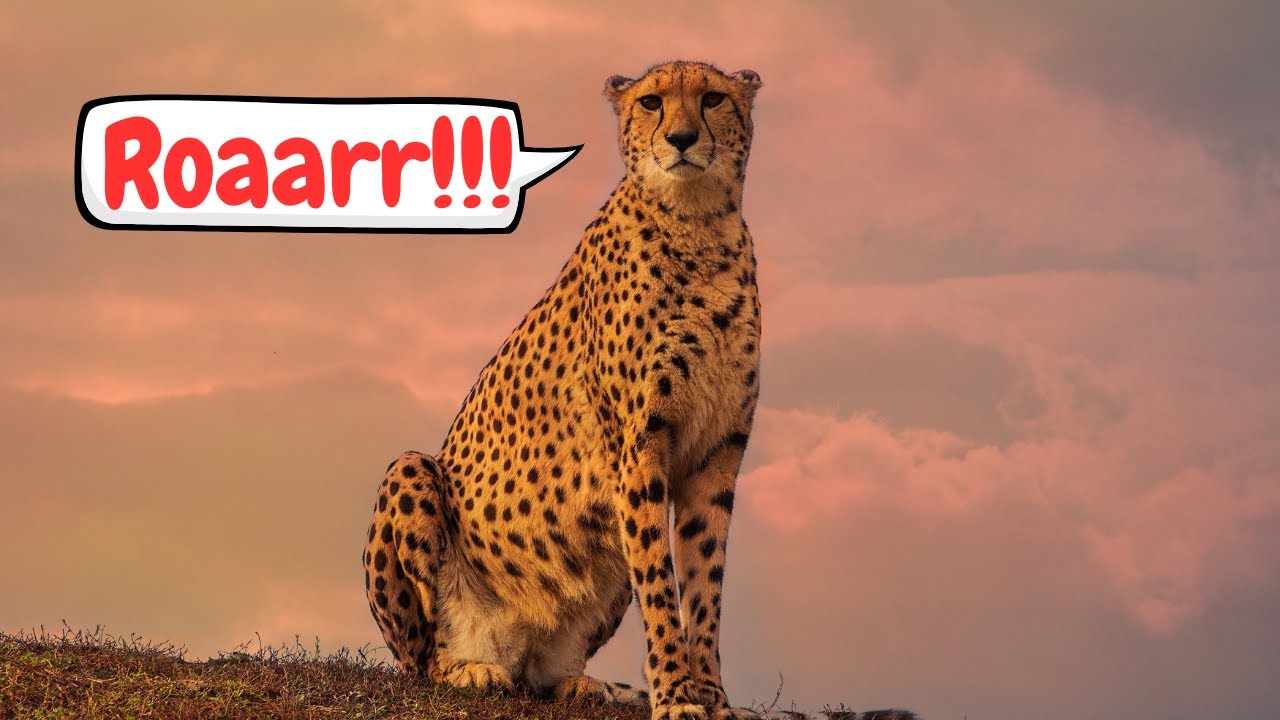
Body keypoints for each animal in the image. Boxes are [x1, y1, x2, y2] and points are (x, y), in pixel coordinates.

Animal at [363, 60, 763, 720]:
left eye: (712, 98)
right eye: (651, 101)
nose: (681, 139)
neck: (698, 224)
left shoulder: (717, 452)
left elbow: (704, 582)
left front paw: (712, 696)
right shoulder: (639, 449)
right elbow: (661, 582)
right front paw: (676, 696)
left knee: (544, 673)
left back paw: (579, 683)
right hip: (411, 471)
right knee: (422, 660)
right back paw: (467, 668)